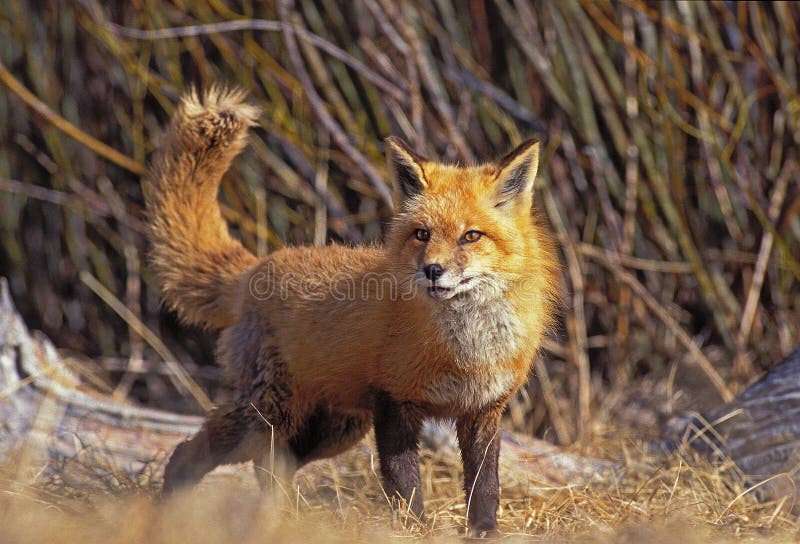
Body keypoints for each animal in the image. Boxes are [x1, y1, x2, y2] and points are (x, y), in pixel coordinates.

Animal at [147, 86, 559, 537]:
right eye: (422, 234)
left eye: (471, 236)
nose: (432, 270)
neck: (466, 349)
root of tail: (259, 266)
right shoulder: (394, 402)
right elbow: (404, 482)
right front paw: (414, 529)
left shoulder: (483, 411)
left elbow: (485, 486)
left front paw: (485, 532)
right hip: (270, 414)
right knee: (192, 450)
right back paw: (167, 512)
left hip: (330, 429)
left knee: (272, 467)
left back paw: (280, 518)